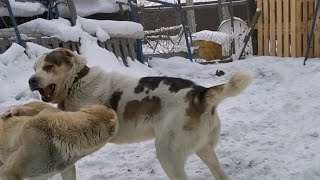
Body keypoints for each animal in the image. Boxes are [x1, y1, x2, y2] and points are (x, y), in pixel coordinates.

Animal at [27, 48, 252, 180]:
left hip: (168, 155)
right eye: (35, 69)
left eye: (49, 67)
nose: (31, 80)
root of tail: (199, 93)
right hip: (205, 150)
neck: (76, 82)